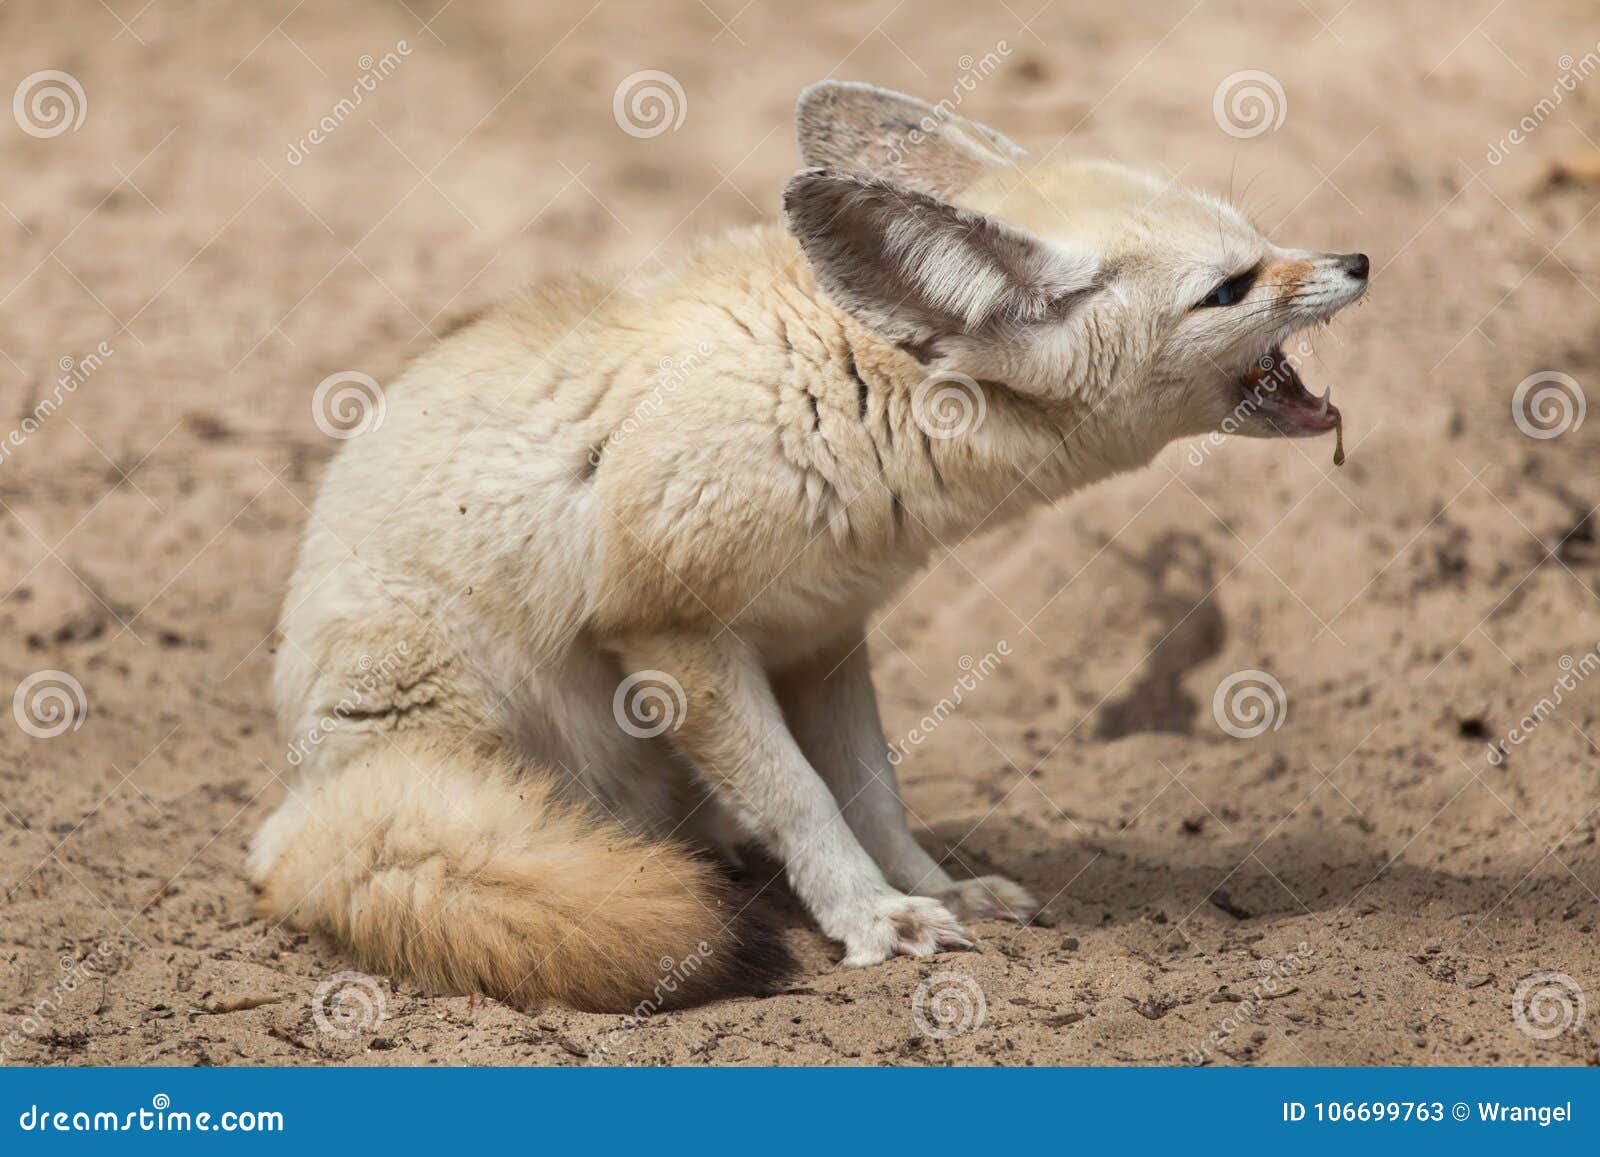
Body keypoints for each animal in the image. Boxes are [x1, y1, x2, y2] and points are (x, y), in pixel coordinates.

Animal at [249, 80, 1368, 1012]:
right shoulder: (673, 632)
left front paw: (933, 888)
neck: (850, 389)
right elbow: (803, 796)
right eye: (1230, 286)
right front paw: (870, 915)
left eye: (1257, 237)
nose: (1359, 259)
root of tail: (299, 812)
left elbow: (873, 792)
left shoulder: (825, 637)